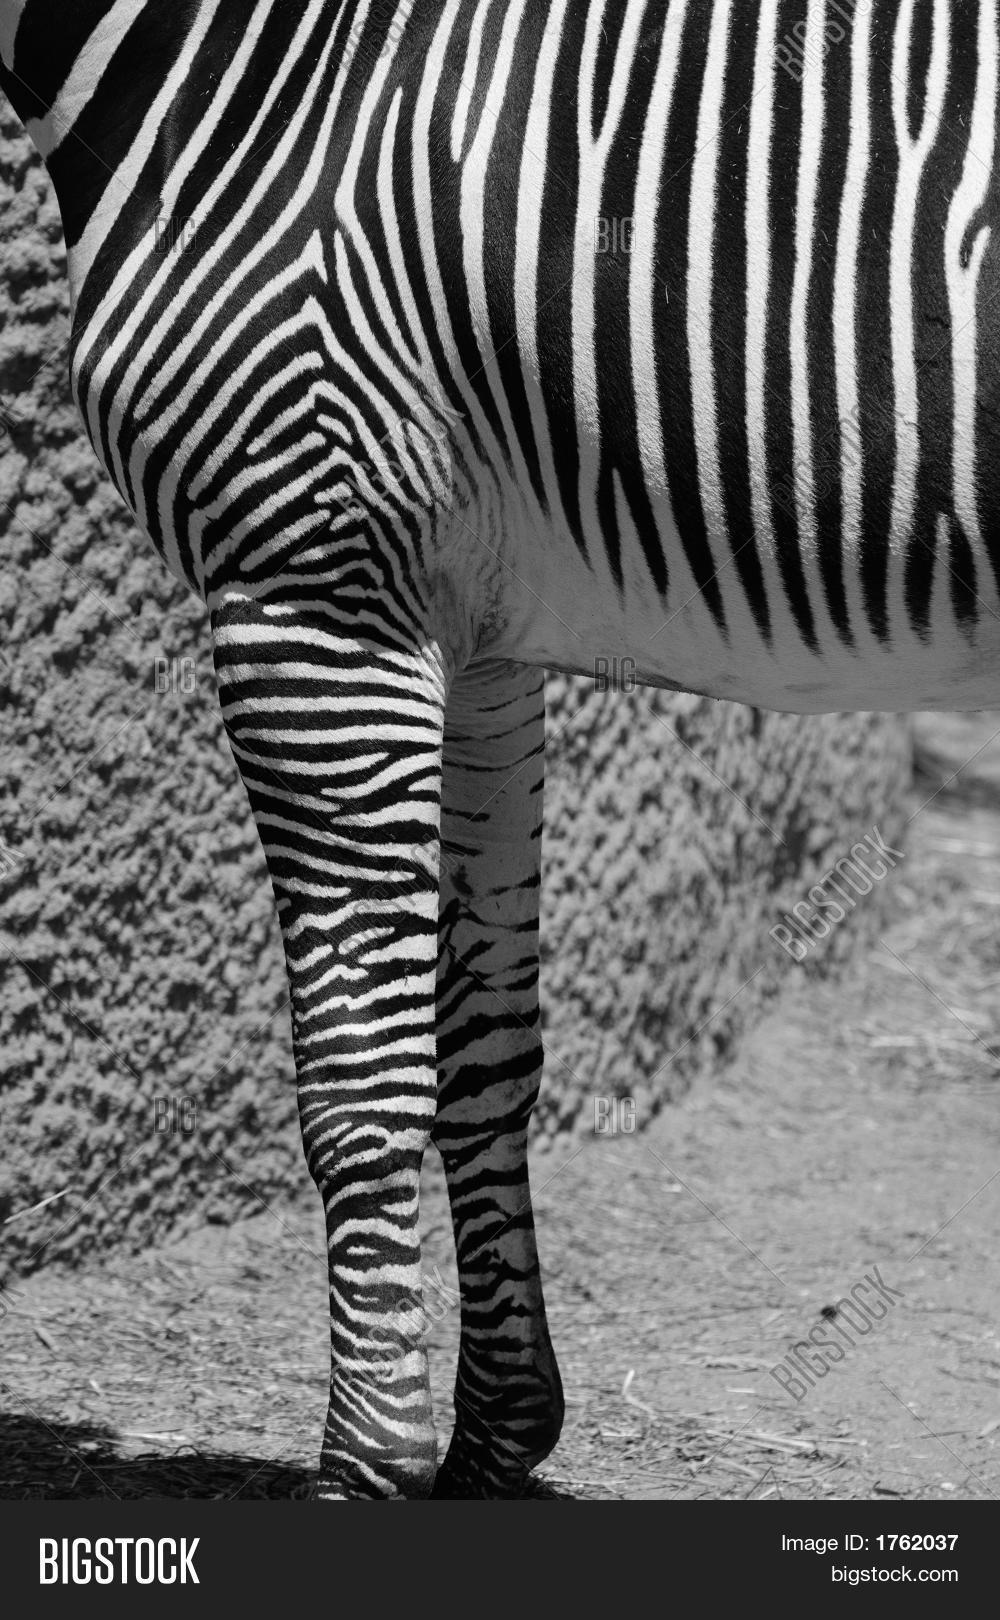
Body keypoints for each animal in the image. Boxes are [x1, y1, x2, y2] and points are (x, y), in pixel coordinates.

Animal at [1, 0, 998, 1500]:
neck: (251, 71)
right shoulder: (476, 641)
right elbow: (483, 1045)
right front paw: (493, 1436)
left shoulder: (315, 595)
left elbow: (357, 1075)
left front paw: (361, 1468)